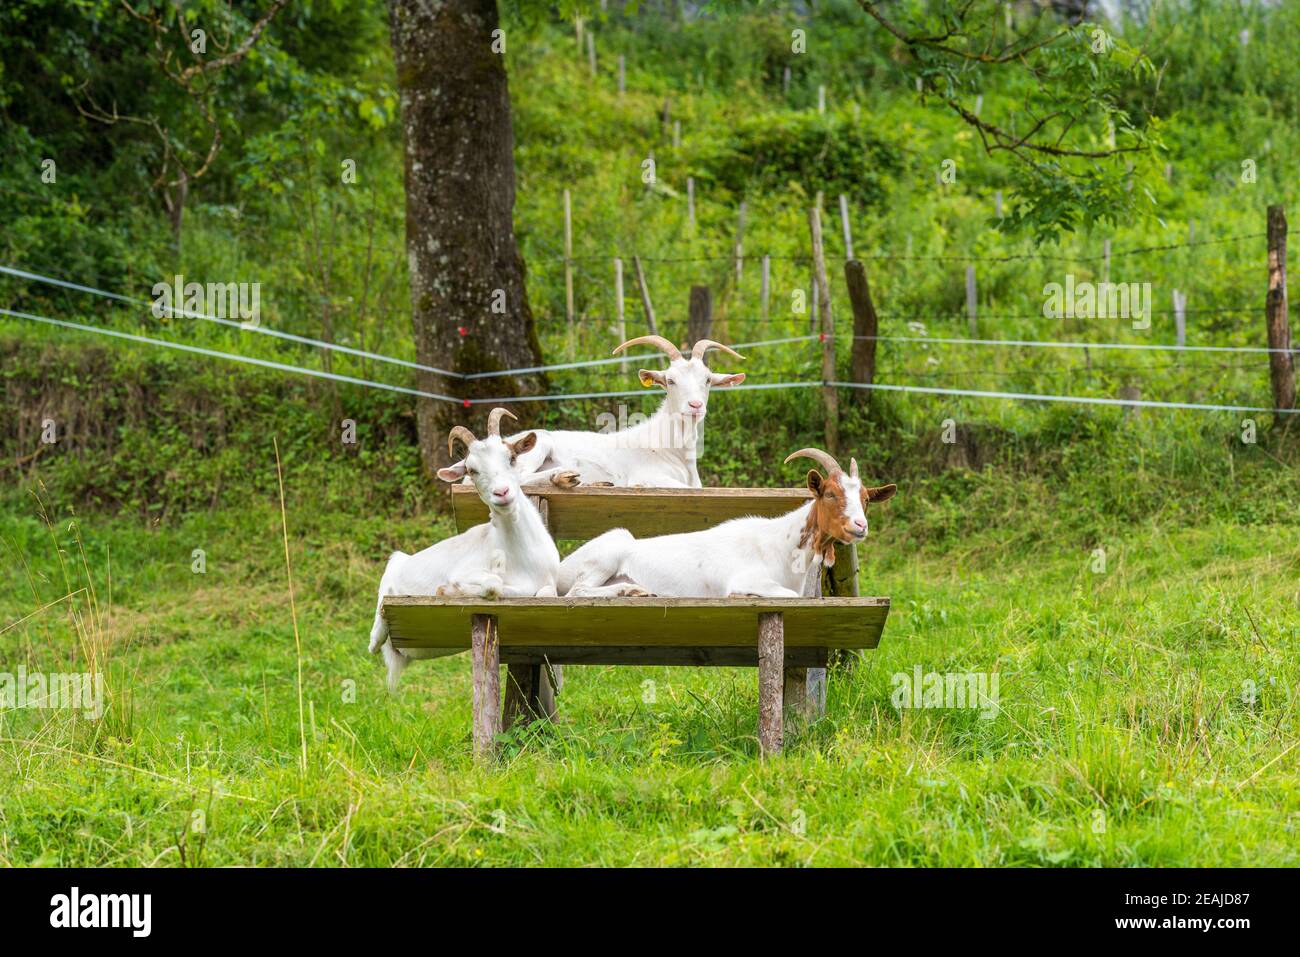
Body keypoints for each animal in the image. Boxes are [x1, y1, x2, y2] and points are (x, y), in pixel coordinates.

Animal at [368, 407, 560, 690]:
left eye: (512, 457)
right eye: (472, 469)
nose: (502, 492)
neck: (521, 556)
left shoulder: (550, 583)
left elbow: (543, 593)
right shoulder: (466, 571)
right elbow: (492, 583)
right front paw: (448, 590)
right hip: (393, 566)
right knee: (376, 632)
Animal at [456, 336, 746, 488]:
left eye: (707, 379)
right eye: (670, 380)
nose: (695, 406)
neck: (669, 449)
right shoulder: (649, 477)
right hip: (538, 444)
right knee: (519, 477)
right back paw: (564, 476)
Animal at [558, 448, 896, 599]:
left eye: (865, 499)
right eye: (829, 493)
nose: (860, 525)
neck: (783, 546)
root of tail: (561, 566)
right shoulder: (748, 579)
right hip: (607, 552)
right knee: (576, 591)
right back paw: (630, 591)